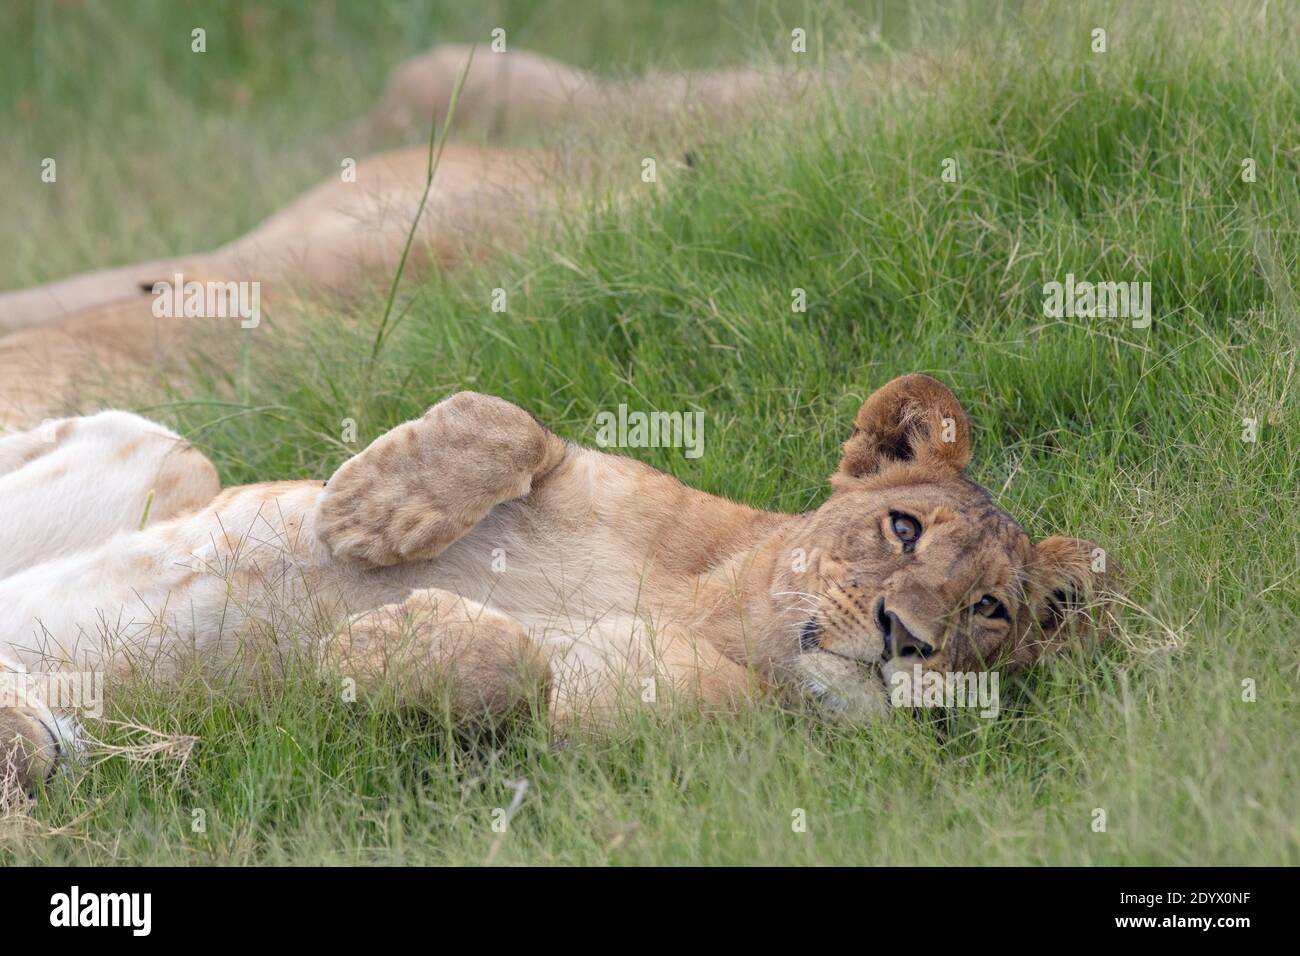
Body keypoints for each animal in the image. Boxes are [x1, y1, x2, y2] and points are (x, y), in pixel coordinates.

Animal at [0, 374, 1108, 792]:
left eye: (989, 611)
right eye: (903, 526)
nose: (903, 638)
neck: (711, 611)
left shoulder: (558, 755)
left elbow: (513, 673)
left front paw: (366, 642)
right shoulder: (584, 465)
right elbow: (511, 420)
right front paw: (366, 511)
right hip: (159, 456)